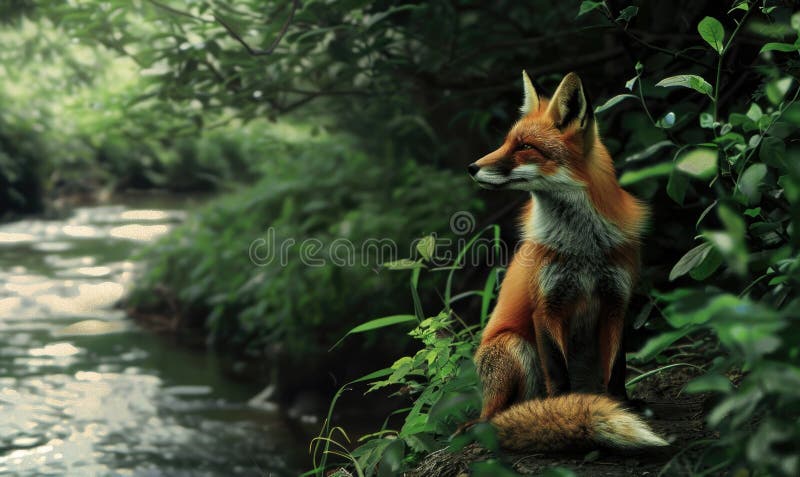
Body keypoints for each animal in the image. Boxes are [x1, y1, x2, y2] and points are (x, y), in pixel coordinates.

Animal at [464, 71, 667, 452]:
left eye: (524, 146)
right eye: (506, 142)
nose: (471, 167)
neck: (582, 247)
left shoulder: (617, 301)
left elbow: (617, 367)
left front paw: (620, 403)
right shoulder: (547, 305)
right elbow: (558, 374)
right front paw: (562, 409)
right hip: (512, 346)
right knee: (493, 417)